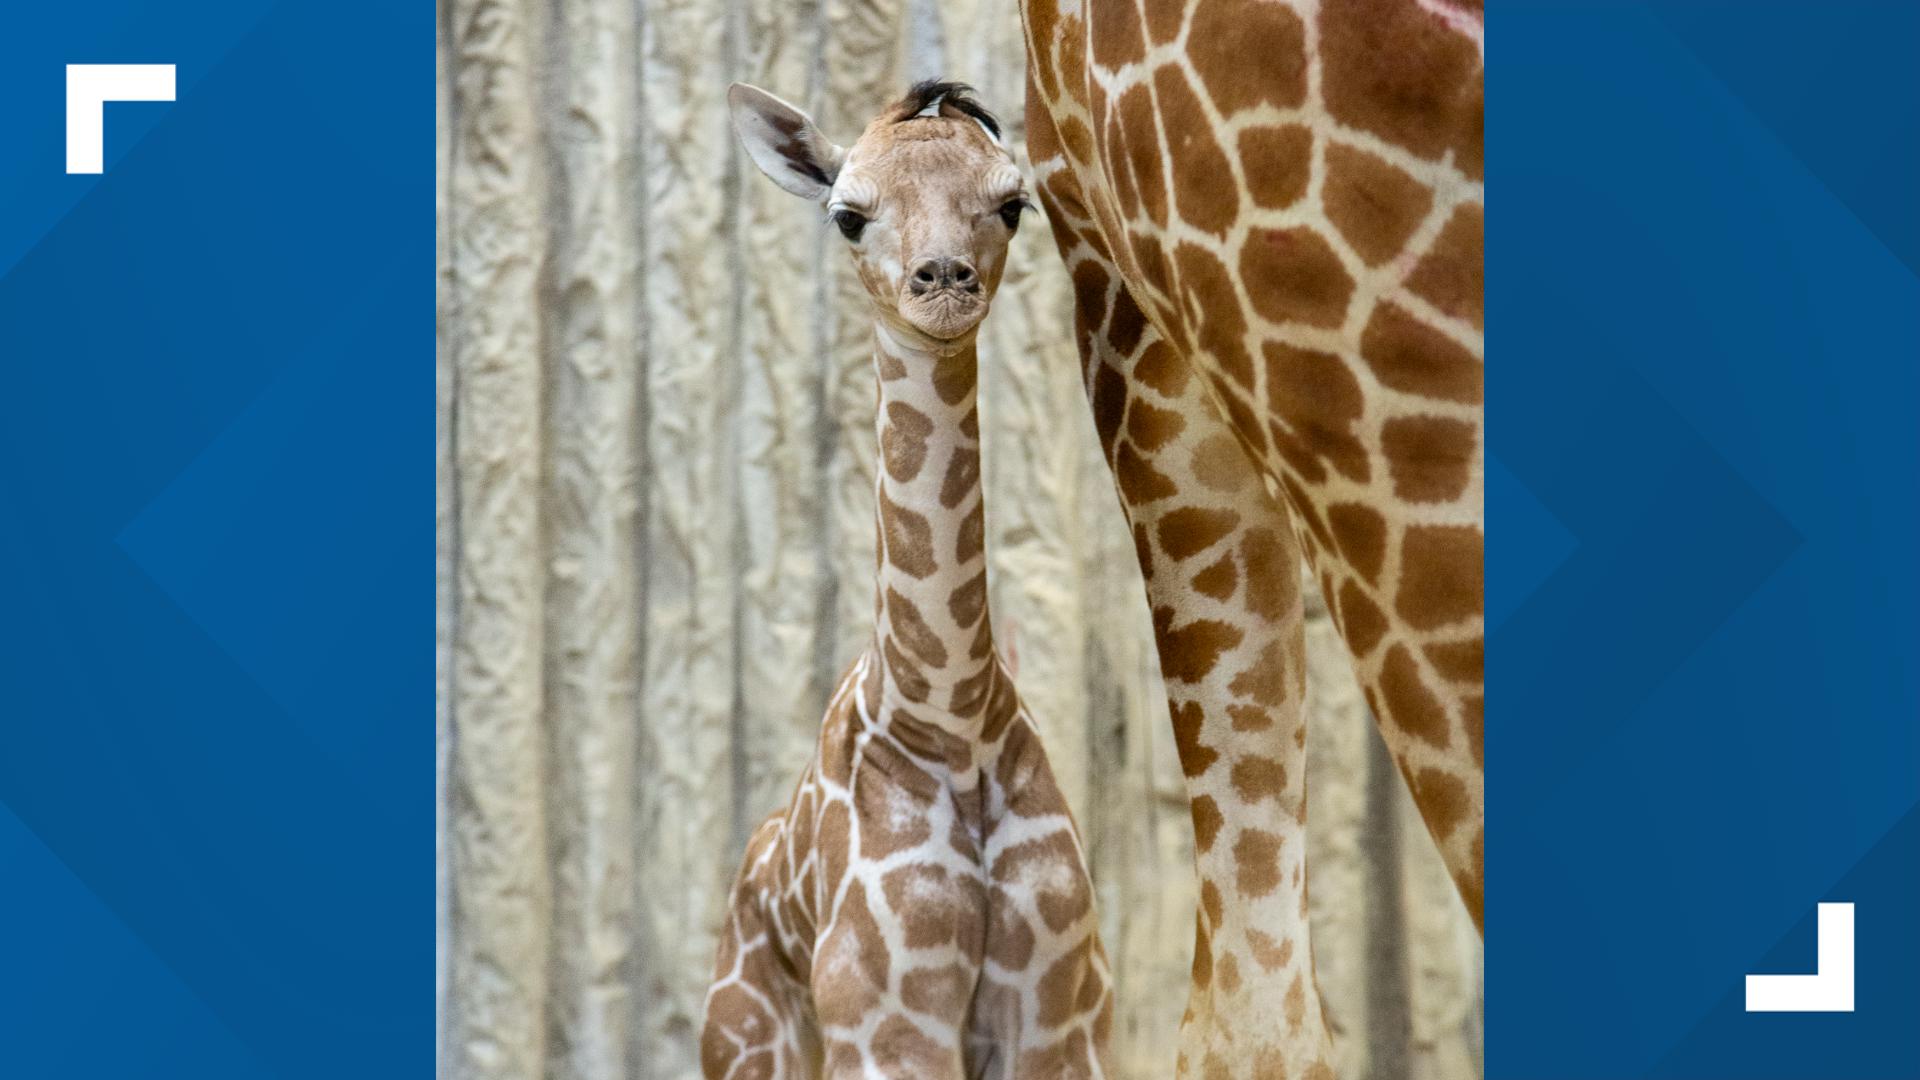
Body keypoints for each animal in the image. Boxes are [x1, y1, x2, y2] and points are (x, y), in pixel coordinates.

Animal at [702, 81, 1114, 1079]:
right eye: (849, 216)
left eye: (1012, 204)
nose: (944, 280)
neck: (953, 719)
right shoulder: (886, 1021)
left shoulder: (1059, 1012)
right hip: (751, 1044)